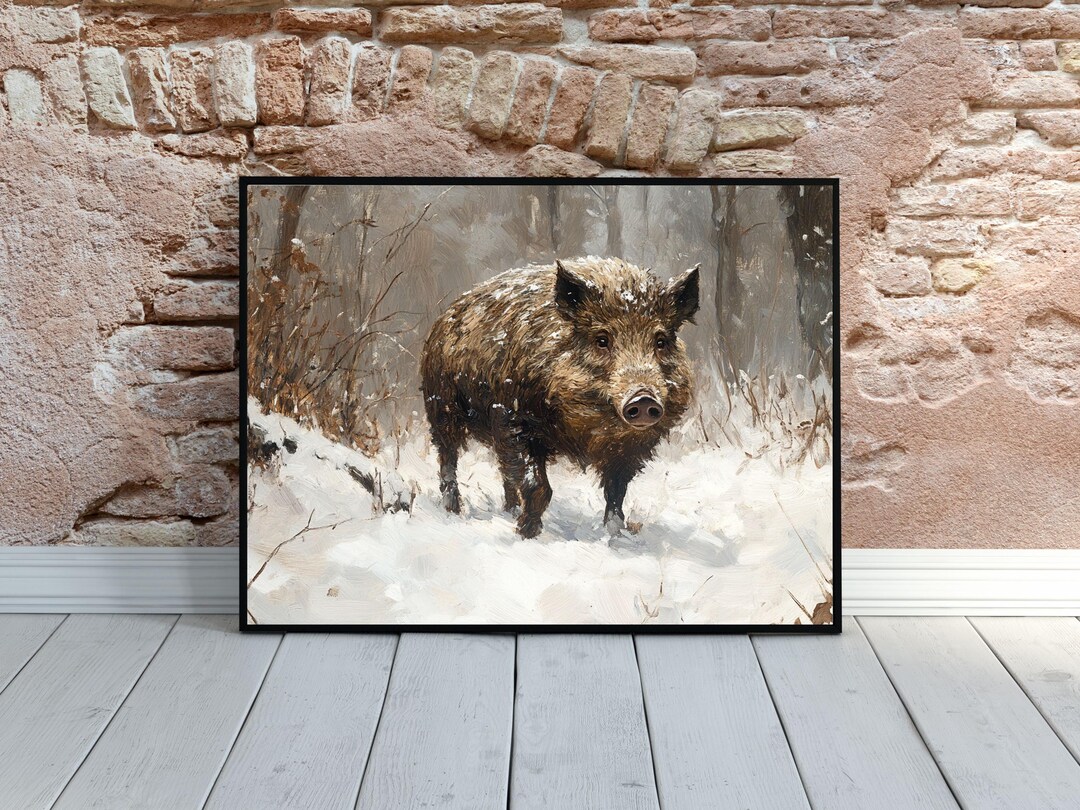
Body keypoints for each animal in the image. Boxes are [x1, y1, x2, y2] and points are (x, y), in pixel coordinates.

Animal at [420, 256, 699, 538]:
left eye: (661, 341)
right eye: (602, 339)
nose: (643, 399)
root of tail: (445, 316)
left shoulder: (628, 451)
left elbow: (616, 494)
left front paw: (616, 536)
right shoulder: (513, 419)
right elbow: (538, 487)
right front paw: (526, 535)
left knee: (503, 471)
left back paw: (508, 511)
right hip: (441, 406)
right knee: (448, 460)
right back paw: (453, 512)